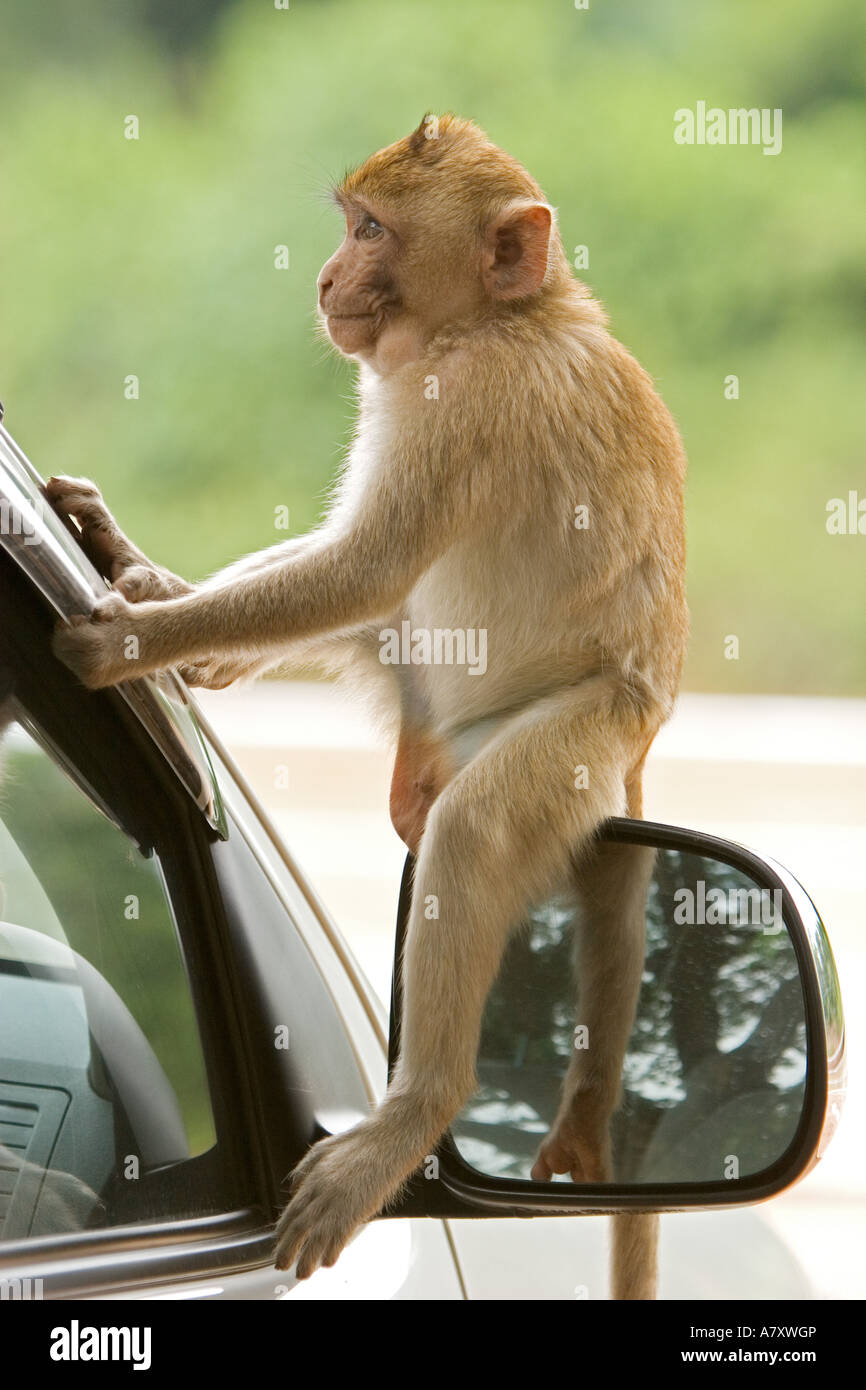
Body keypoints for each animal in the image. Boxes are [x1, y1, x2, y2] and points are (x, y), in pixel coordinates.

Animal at [48, 114, 688, 1300]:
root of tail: (645, 725)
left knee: (473, 828)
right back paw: (182, 616)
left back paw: (408, 1123)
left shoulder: (466, 404)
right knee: (381, 634)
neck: (496, 319)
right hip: (440, 699)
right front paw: (144, 589)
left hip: (578, 734)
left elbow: (365, 565)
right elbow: (353, 580)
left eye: (373, 231)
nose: (326, 278)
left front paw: (126, 641)